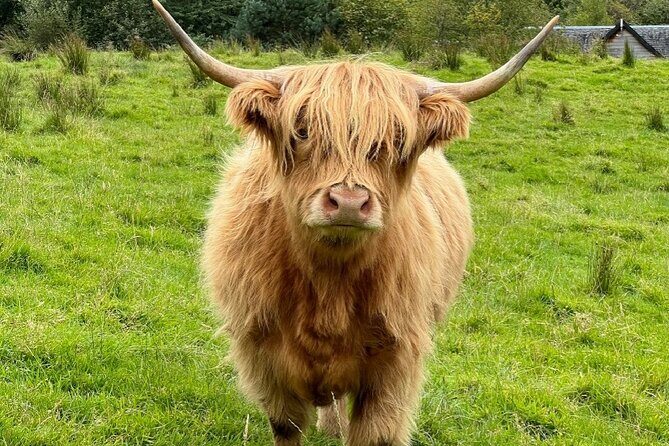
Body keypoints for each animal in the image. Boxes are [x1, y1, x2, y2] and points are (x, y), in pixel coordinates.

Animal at [152, 2, 558, 444]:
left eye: (396, 140)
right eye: (302, 130)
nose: (348, 203)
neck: (329, 285)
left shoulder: (395, 363)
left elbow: (375, 432)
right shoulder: (262, 356)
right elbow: (286, 426)